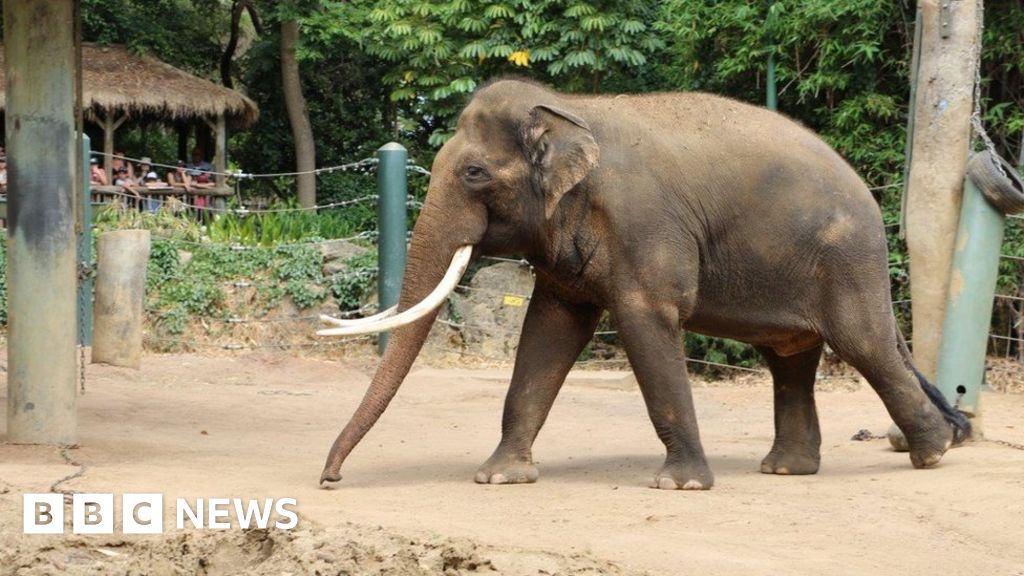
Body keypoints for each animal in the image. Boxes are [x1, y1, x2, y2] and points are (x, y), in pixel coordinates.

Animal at [317, 78, 969, 490]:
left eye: (474, 172)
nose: (330, 478)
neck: (568, 110)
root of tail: (869, 194)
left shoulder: (644, 223)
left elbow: (645, 319)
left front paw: (678, 486)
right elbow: (549, 329)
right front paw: (498, 477)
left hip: (847, 260)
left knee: (865, 344)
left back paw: (932, 452)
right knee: (790, 357)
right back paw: (787, 469)